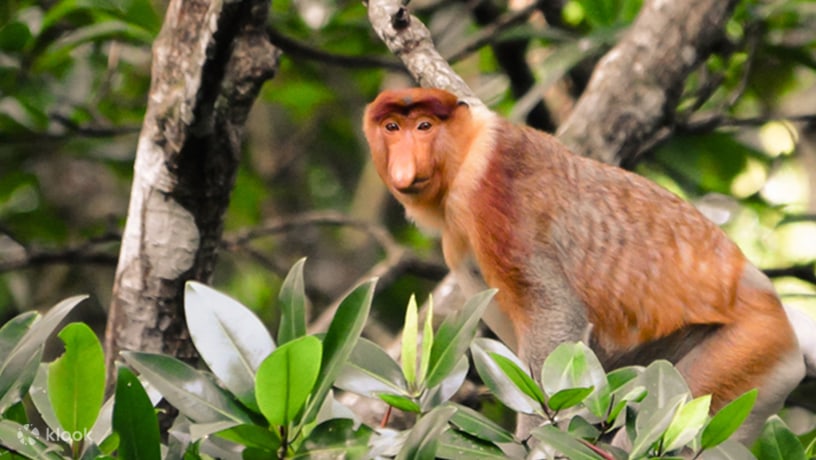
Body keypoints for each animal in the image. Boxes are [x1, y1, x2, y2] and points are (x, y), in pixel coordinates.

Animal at [363, 87, 807, 444]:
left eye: (424, 126)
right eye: (391, 127)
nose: (404, 166)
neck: (468, 154)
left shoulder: (495, 192)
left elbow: (555, 314)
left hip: (748, 351)